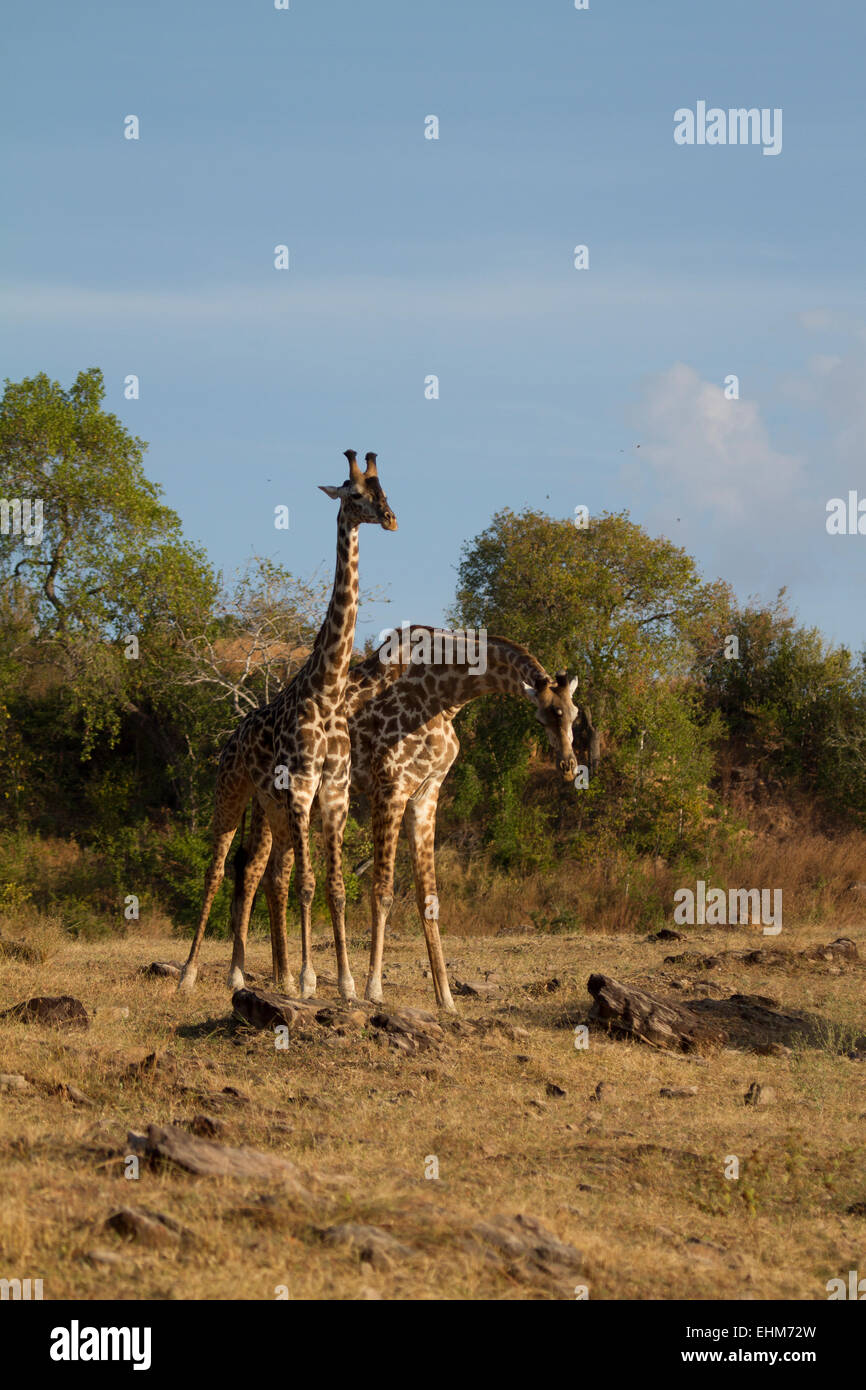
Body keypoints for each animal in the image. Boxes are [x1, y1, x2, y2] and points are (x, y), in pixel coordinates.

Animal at [177, 449, 397, 1002]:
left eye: (385, 491)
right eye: (355, 493)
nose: (390, 519)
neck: (328, 688)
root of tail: (231, 737)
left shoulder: (334, 793)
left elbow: (333, 887)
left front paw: (344, 984)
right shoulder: (301, 787)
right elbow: (308, 884)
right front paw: (308, 979)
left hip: (269, 812)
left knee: (260, 873)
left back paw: (250, 973)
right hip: (231, 793)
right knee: (219, 870)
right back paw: (192, 972)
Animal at [225, 629, 584, 1011]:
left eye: (574, 714)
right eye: (546, 715)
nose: (568, 765)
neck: (444, 695)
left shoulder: (427, 792)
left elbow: (428, 896)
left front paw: (446, 999)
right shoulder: (391, 787)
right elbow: (383, 891)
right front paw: (373, 990)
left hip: (277, 805)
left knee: (267, 873)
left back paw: (282, 978)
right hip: (275, 798)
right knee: (254, 872)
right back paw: (244, 977)